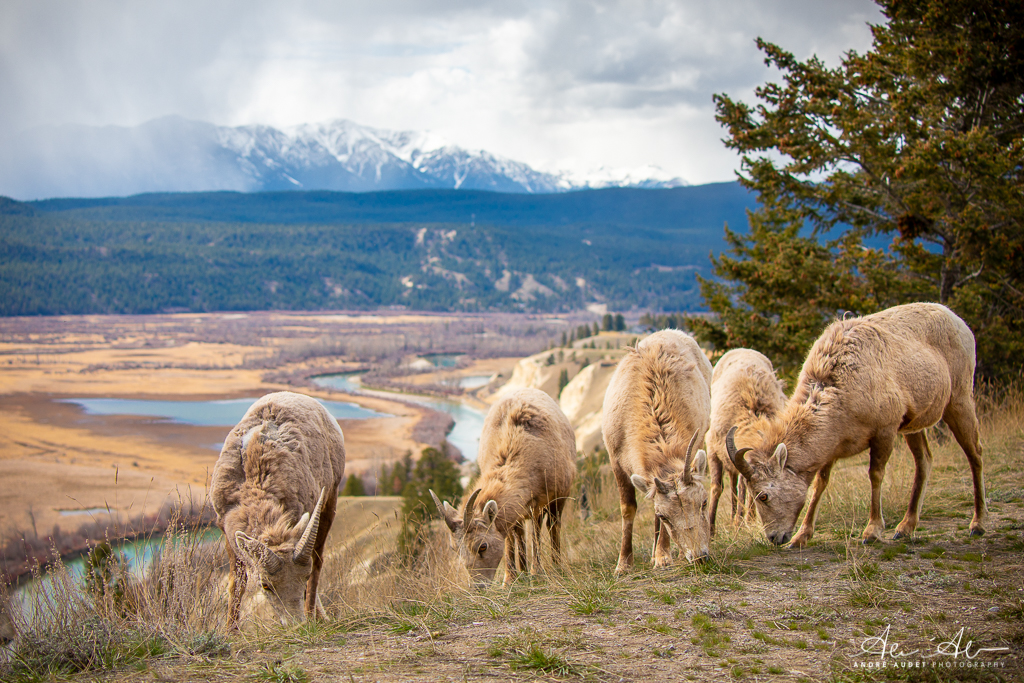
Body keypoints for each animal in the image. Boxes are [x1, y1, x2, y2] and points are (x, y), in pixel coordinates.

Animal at [210, 391, 345, 625]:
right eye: (266, 586)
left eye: (303, 576)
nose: (297, 625)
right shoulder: (227, 534)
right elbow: (237, 583)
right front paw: (230, 631)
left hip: (330, 502)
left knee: (318, 562)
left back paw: (315, 616)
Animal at [431, 388, 575, 586]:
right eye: (454, 549)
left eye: (482, 546)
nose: (479, 586)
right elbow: (510, 537)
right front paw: (510, 579)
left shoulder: (540, 501)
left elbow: (536, 533)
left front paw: (537, 572)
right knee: (520, 533)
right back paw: (523, 570)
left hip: (557, 501)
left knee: (552, 525)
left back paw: (556, 565)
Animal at [601, 329, 714, 573]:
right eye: (665, 516)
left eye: (704, 502)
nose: (700, 557)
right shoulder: (616, 462)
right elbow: (628, 509)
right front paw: (623, 565)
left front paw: (663, 557)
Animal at [706, 349, 787, 534]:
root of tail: (743, 349)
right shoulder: (713, 451)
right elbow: (717, 488)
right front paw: (711, 530)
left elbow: (742, 488)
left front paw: (744, 523)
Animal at [727, 303, 988, 547]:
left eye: (763, 496)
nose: (775, 538)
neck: (842, 389)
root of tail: (958, 322)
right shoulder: (831, 447)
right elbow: (820, 484)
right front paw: (801, 537)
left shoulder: (885, 431)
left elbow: (875, 475)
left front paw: (872, 532)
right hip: (913, 426)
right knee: (924, 460)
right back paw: (904, 529)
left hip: (959, 400)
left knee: (975, 453)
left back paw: (977, 525)